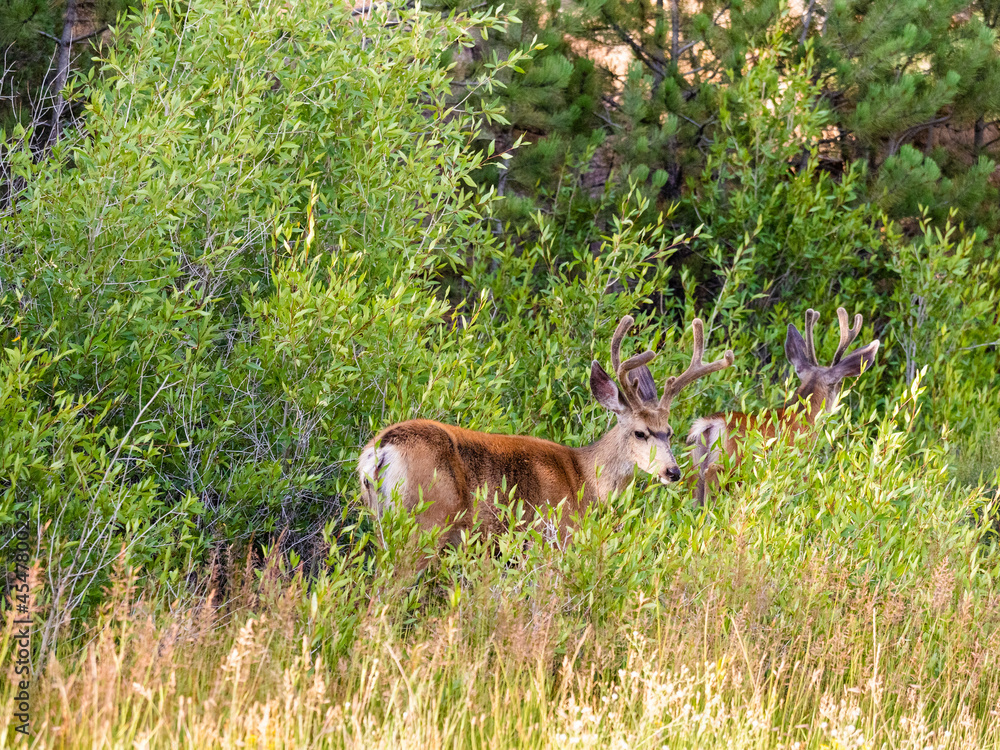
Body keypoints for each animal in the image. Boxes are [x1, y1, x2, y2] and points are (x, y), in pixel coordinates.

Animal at [358, 315, 734, 550]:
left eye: (669, 431)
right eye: (641, 433)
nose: (672, 472)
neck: (587, 482)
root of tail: (380, 450)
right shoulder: (554, 533)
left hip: (380, 520)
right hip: (427, 519)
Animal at [687, 307, 880, 507]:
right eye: (838, 383)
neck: (804, 419)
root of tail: (711, 424)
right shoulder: (799, 468)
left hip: (692, 468)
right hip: (732, 464)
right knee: (713, 474)